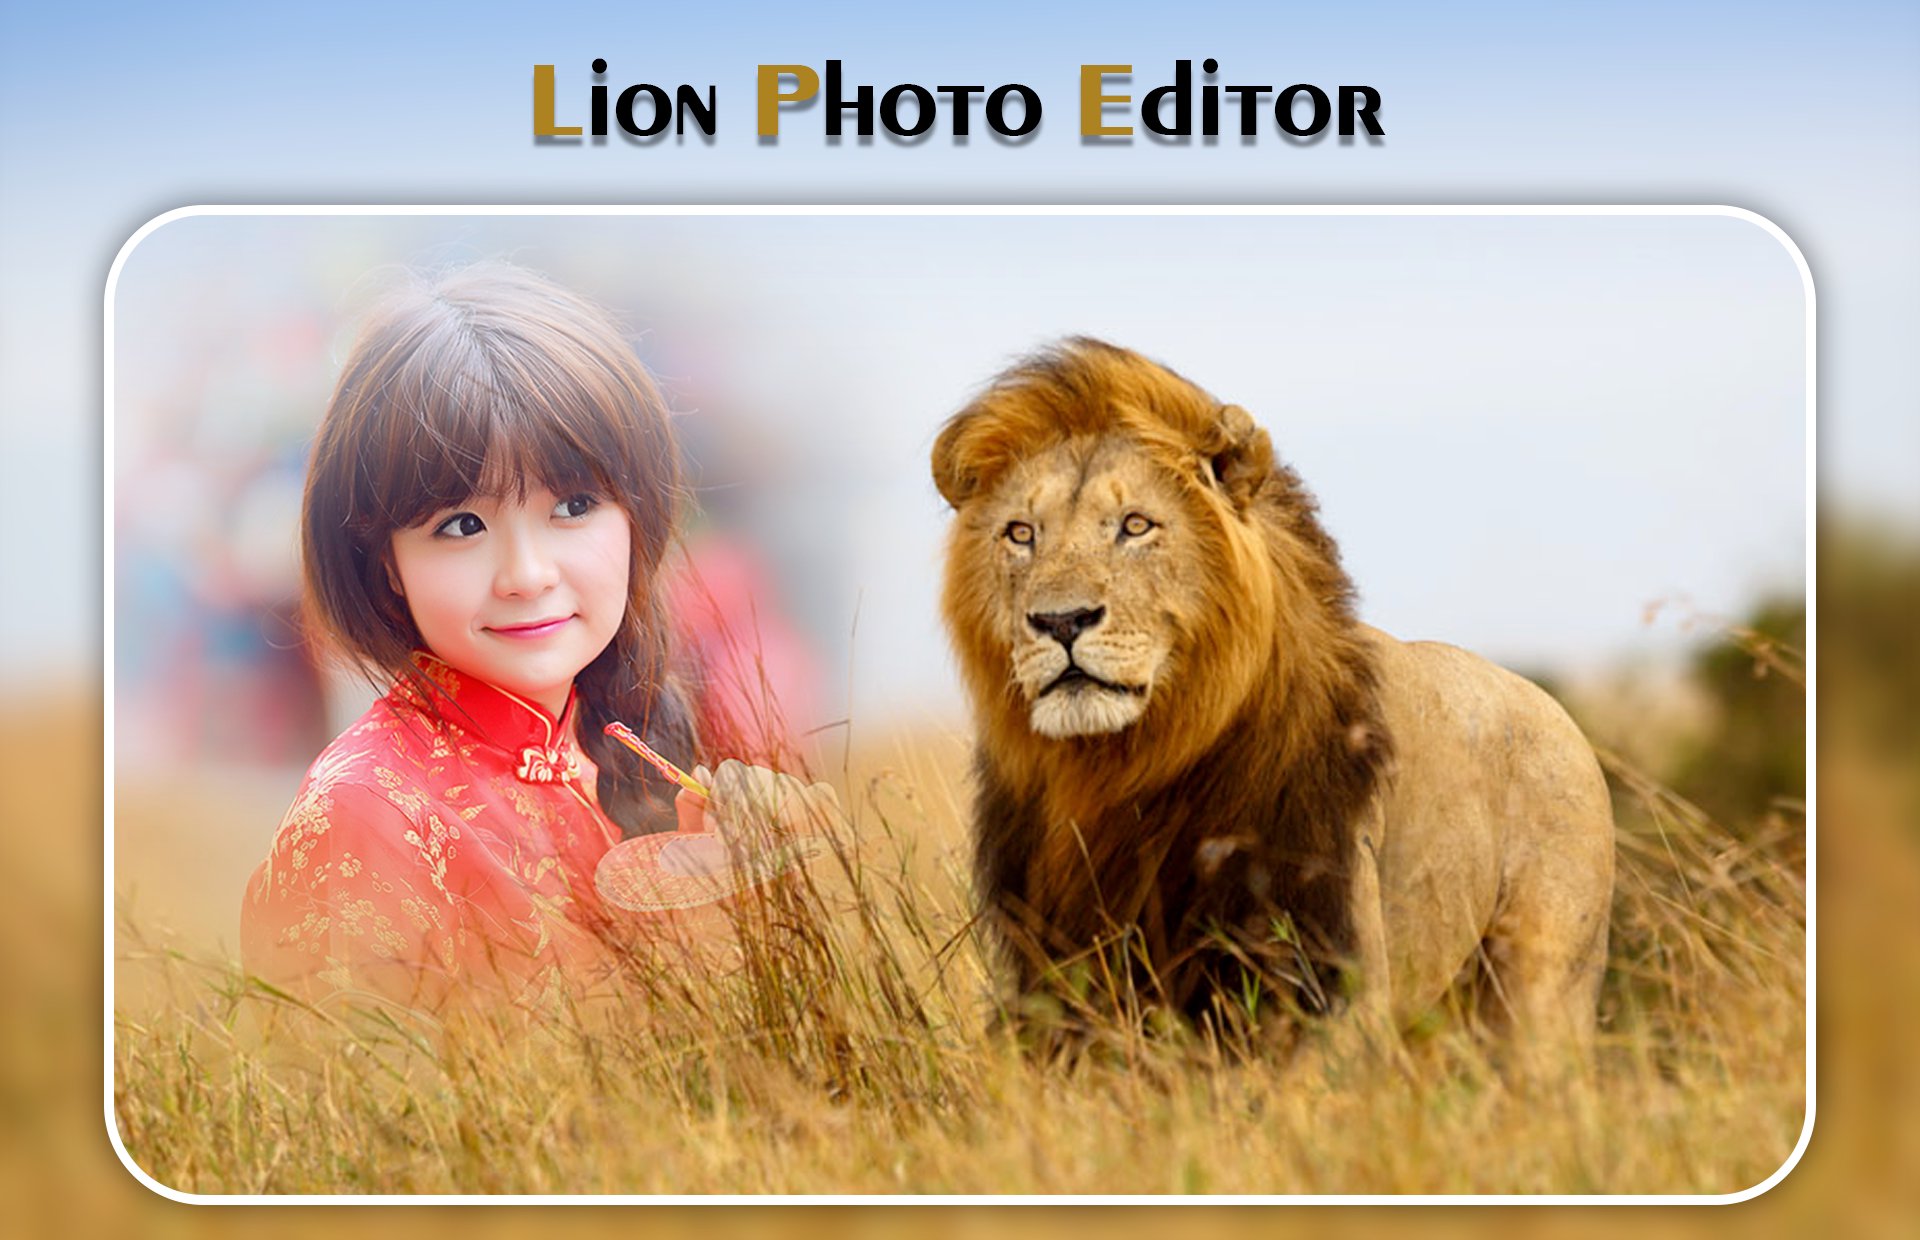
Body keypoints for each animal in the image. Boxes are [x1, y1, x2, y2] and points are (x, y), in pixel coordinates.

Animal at [932, 338, 1615, 1065]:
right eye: (1021, 533)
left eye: (1136, 525)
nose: (1060, 621)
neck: (1123, 767)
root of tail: (1560, 717)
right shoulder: (1058, 974)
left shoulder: (1326, 969)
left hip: (1543, 988)